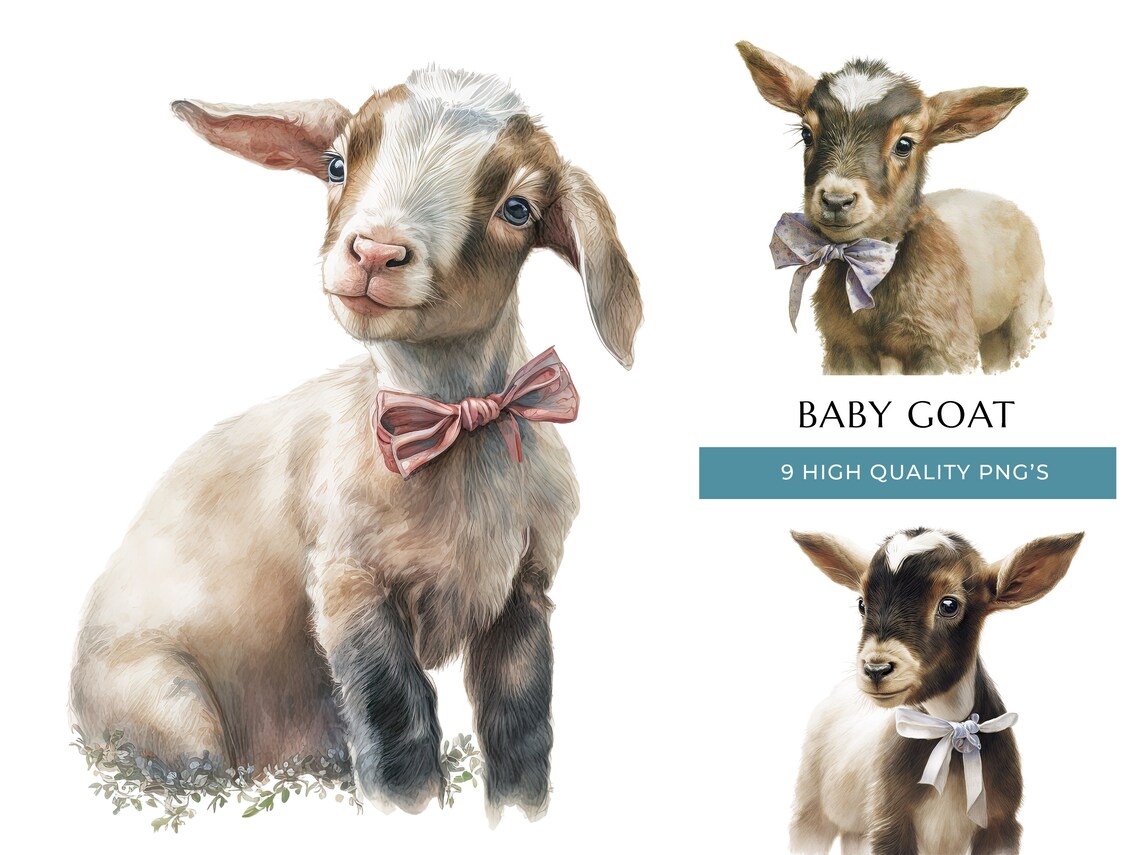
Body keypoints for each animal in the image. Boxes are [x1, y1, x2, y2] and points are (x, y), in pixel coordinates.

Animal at [69, 68, 642, 821]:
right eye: (337, 165)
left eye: (517, 208)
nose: (374, 253)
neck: (455, 427)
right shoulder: (348, 583)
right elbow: (395, 715)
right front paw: (411, 808)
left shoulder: (522, 591)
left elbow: (521, 724)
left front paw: (518, 813)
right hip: (171, 706)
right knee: (190, 774)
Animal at [738, 43, 1050, 375]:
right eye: (806, 134)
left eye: (904, 144)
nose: (836, 200)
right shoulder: (843, 346)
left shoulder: (948, 347)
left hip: (1029, 314)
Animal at [790, 528, 1083, 854]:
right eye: (862, 603)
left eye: (949, 605)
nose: (876, 669)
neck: (952, 730)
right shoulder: (890, 823)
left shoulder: (1000, 825)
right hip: (811, 809)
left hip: (856, 827)